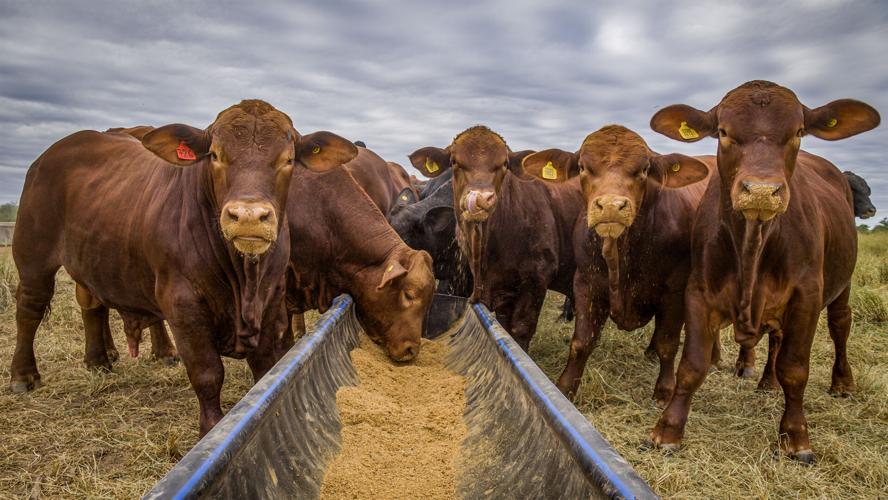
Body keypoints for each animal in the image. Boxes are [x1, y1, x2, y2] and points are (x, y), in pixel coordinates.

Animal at [10, 100, 357, 435]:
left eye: (288, 160)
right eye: (215, 155)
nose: (247, 217)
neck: (243, 279)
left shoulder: (271, 301)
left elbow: (265, 366)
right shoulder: (184, 306)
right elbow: (207, 373)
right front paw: (211, 428)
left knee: (91, 303)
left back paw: (98, 361)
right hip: (33, 257)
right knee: (29, 310)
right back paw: (23, 375)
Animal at [522, 126, 710, 402]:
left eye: (644, 169)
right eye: (582, 167)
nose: (611, 206)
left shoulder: (675, 291)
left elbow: (668, 344)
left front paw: (664, 391)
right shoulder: (586, 283)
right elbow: (581, 342)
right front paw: (565, 387)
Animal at [645, 81, 880, 463]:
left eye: (799, 131)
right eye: (723, 132)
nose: (761, 191)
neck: (751, 247)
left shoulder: (807, 296)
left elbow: (795, 369)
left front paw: (796, 437)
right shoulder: (698, 292)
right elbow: (691, 364)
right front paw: (667, 430)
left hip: (841, 285)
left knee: (840, 325)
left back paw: (842, 382)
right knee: (776, 341)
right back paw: (767, 382)